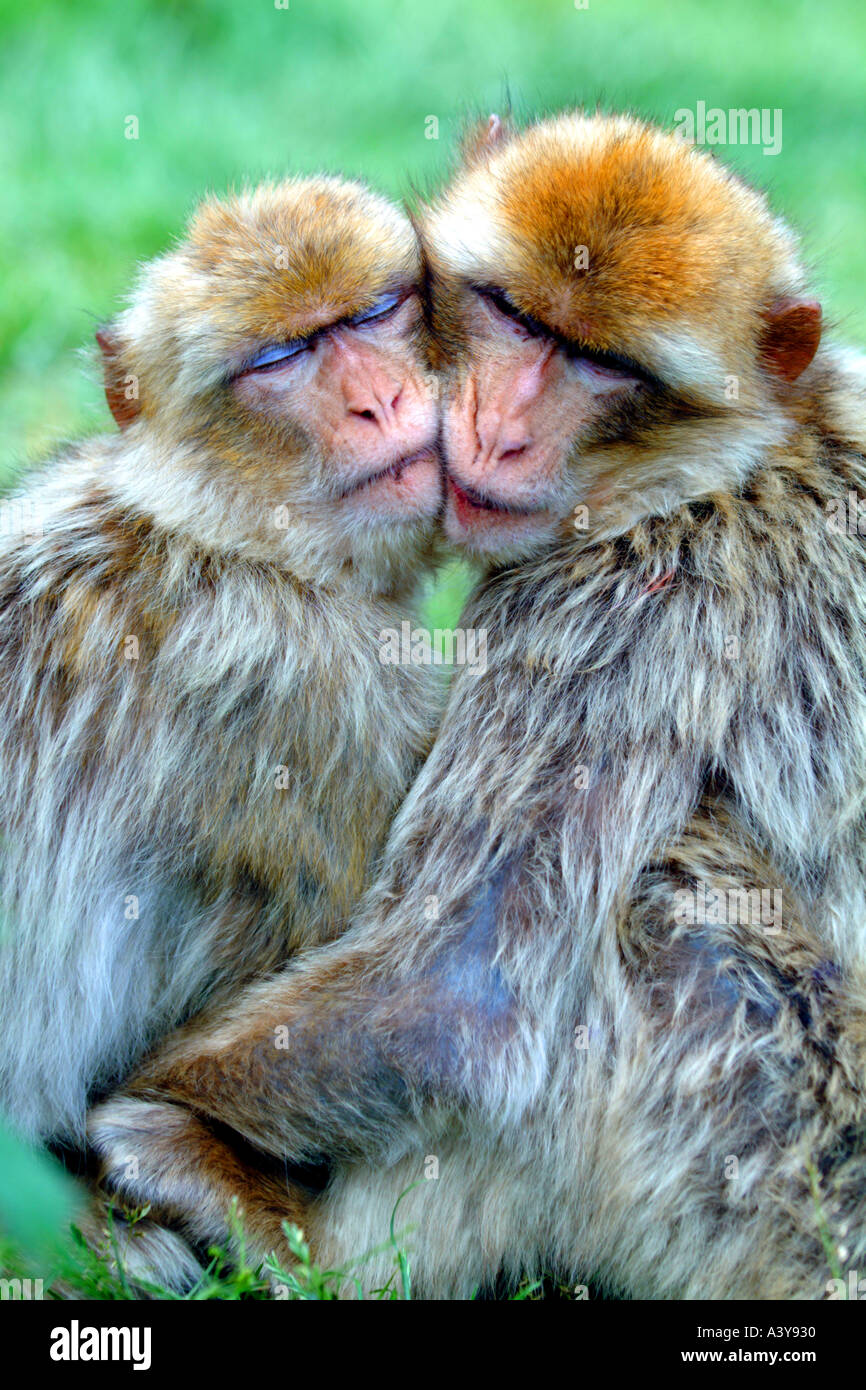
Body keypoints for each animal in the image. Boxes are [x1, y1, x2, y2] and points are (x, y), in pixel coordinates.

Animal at [88, 110, 866, 1299]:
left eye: (603, 363)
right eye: (511, 312)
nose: (497, 430)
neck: (729, 458)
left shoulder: (609, 611)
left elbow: (451, 996)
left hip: (786, 1164)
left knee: (661, 896)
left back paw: (298, 1241)